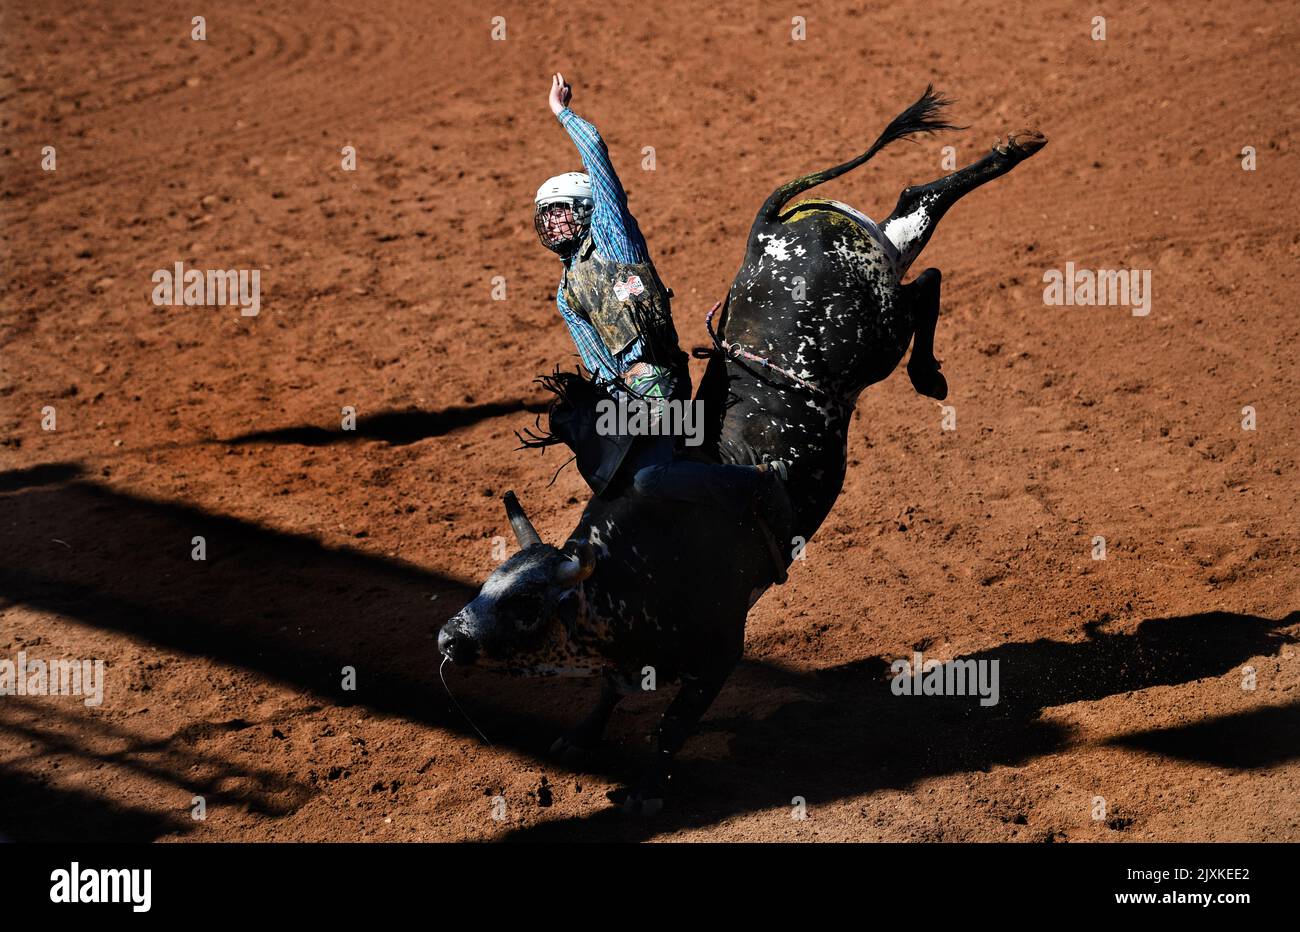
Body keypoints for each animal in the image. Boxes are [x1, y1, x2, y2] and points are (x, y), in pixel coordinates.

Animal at [437, 87, 1045, 813]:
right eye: (488, 584)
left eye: (526, 604)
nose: (449, 637)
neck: (629, 568)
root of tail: (767, 234)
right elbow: (610, 691)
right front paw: (581, 738)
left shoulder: (720, 653)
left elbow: (671, 727)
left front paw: (648, 791)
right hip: (877, 271)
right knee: (914, 213)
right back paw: (1012, 150)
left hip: (878, 331)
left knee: (926, 278)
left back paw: (934, 367)